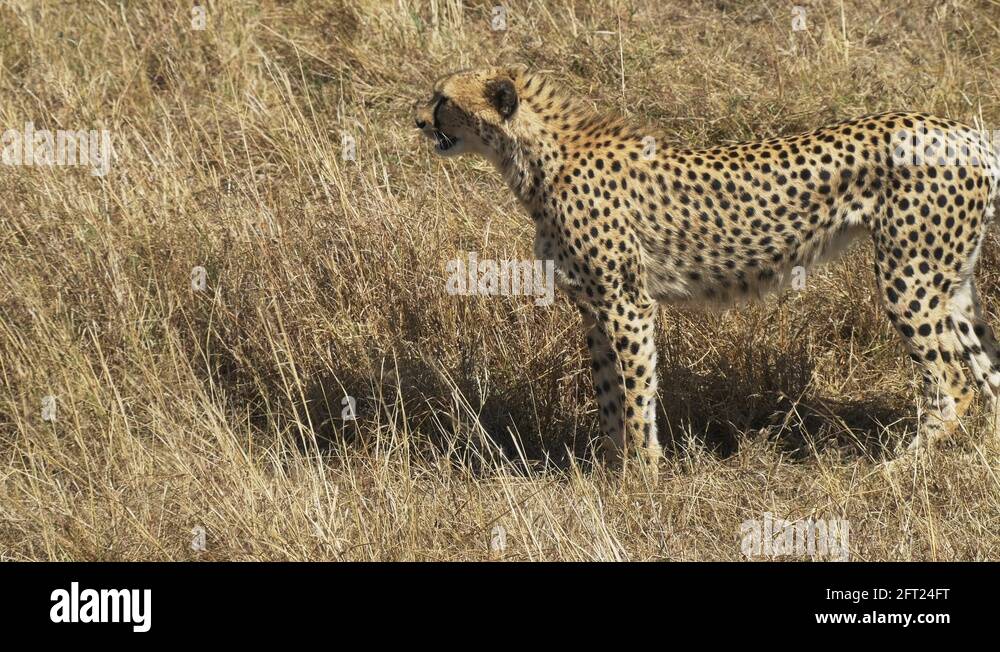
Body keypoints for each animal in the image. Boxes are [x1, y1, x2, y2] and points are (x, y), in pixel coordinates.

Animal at [414, 64, 1000, 469]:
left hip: (911, 280)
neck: (537, 157)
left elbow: (636, 395)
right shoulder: (595, 311)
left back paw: (900, 468)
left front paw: (643, 479)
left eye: (443, 100)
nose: (417, 120)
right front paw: (610, 473)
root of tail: (964, 132)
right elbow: (609, 396)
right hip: (954, 285)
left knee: (954, 383)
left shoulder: (627, 305)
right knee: (988, 373)